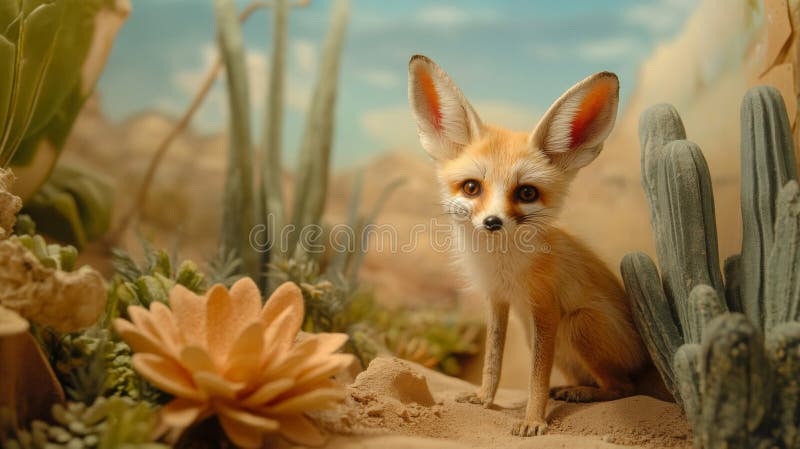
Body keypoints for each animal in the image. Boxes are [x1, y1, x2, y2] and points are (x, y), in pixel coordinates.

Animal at [407, 54, 661, 437]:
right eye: (471, 188)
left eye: (526, 193)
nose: (492, 222)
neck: (502, 265)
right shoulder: (498, 301)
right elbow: (492, 359)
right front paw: (484, 398)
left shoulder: (545, 310)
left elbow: (536, 379)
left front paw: (533, 420)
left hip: (577, 324)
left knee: (624, 387)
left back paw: (584, 393)